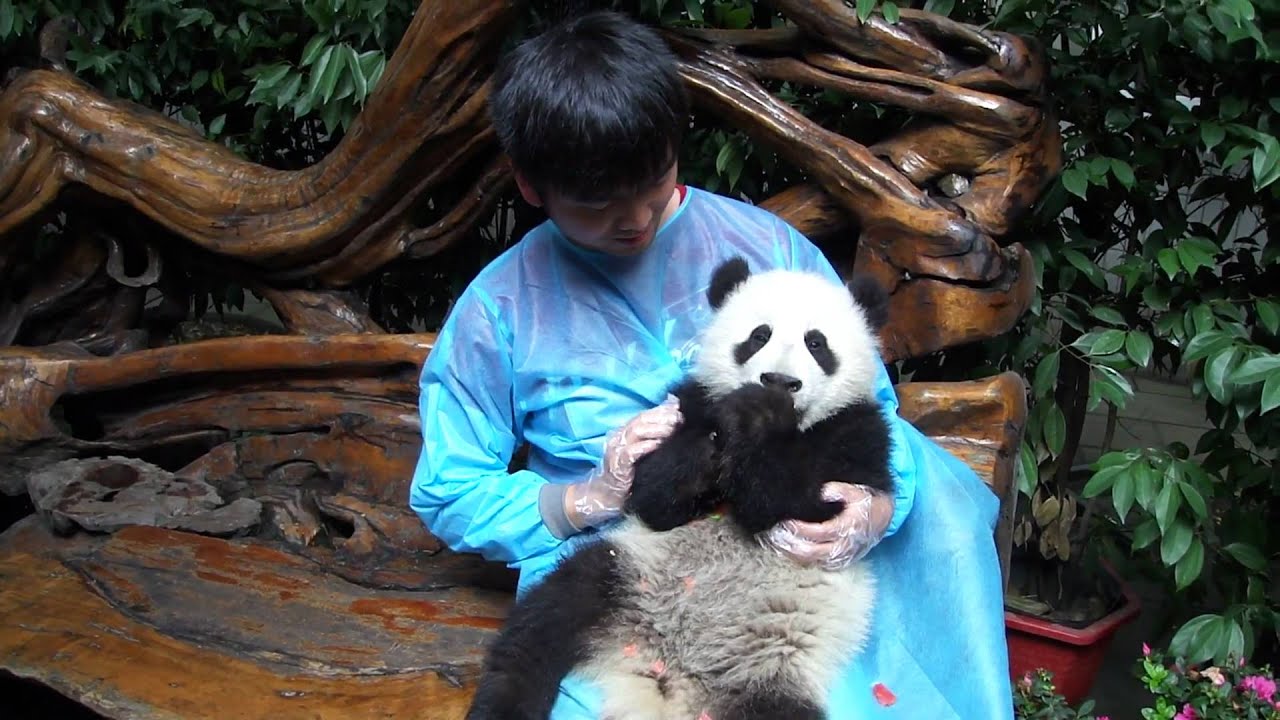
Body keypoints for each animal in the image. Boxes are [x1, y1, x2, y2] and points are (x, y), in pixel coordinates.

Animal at [465, 255, 895, 720]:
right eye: (759, 336)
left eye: (817, 344)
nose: (779, 381)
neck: (797, 426)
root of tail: (670, 674)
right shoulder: (689, 402)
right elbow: (654, 495)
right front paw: (718, 433)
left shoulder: (860, 438)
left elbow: (798, 504)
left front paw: (757, 417)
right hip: (627, 573)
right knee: (543, 625)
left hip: (777, 666)